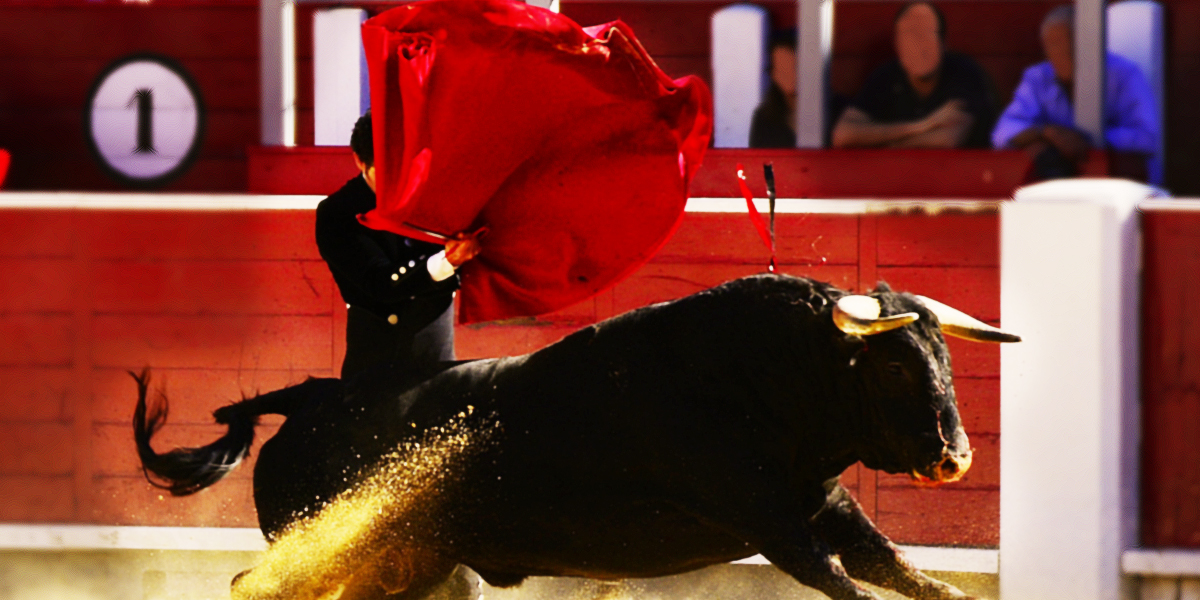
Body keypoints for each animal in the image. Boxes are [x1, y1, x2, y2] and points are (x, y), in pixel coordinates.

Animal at [133, 274, 1019, 600]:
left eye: (946, 356)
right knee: (252, 584)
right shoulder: (768, 517)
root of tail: (314, 398)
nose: (957, 459)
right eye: (898, 367)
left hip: (404, 562)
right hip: (332, 546)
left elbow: (907, 574)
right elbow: (846, 582)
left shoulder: (822, 505)